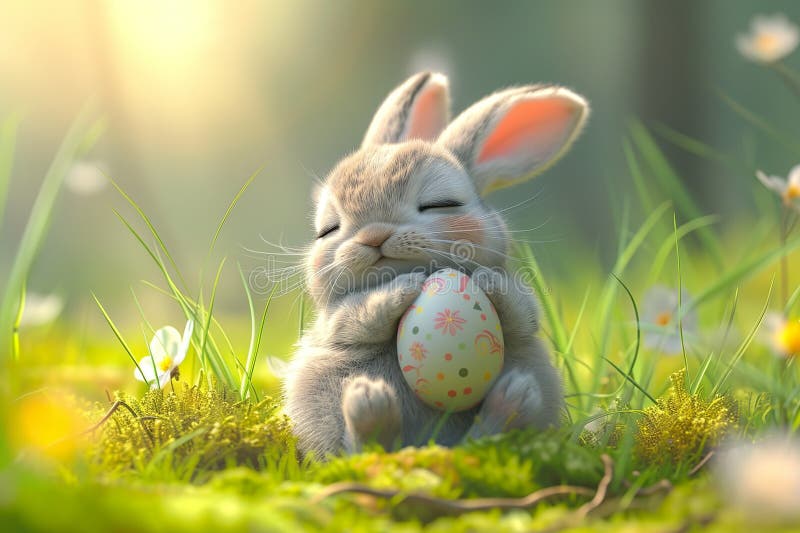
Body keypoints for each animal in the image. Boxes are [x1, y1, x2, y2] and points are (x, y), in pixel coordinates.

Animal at [284, 72, 589, 458]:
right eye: (329, 229)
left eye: (440, 204)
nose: (374, 236)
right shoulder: (335, 319)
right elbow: (357, 317)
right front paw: (405, 288)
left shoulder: (525, 312)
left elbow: (520, 312)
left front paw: (485, 281)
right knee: (361, 449)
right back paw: (371, 404)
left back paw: (513, 402)